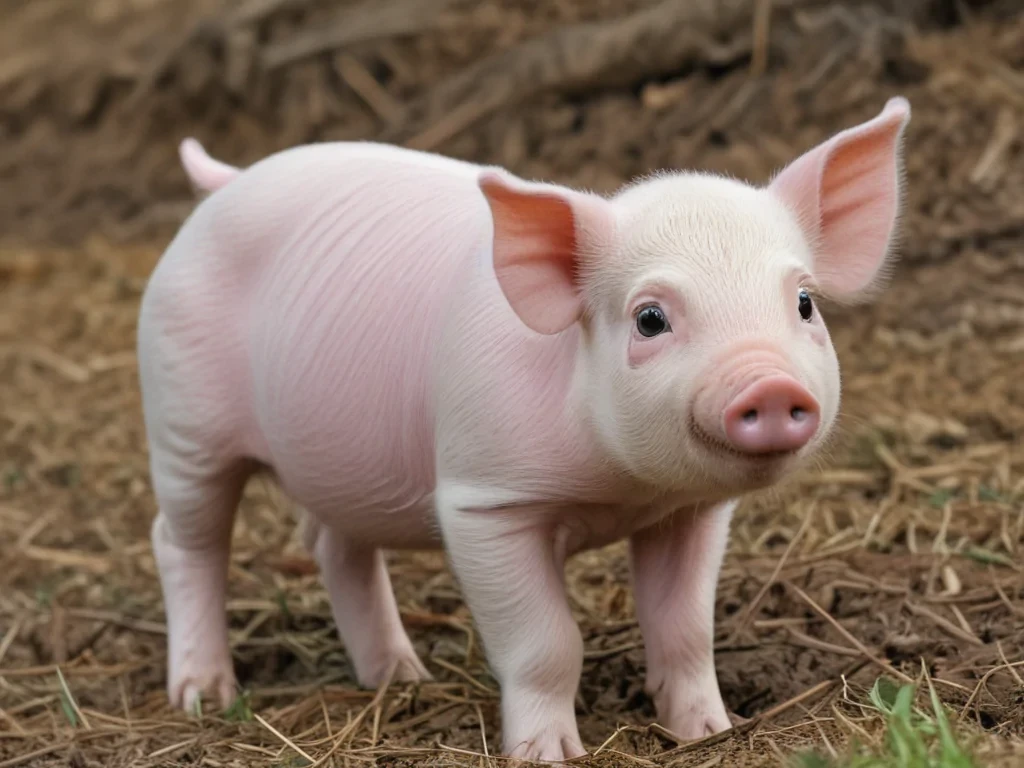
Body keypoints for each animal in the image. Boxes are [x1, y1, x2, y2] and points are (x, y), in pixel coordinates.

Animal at [139, 97, 911, 761]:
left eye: (804, 303)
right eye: (650, 318)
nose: (771, 385)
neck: (620, 489)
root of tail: (229, 182)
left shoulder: (690, 511)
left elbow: (687, 629)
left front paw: (710, 731)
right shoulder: (484, 501)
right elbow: (546, 641)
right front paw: (548, 755)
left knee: (335, 548)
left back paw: (400, 676)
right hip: (182, 418)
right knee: (184, 541)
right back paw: (205, 696)